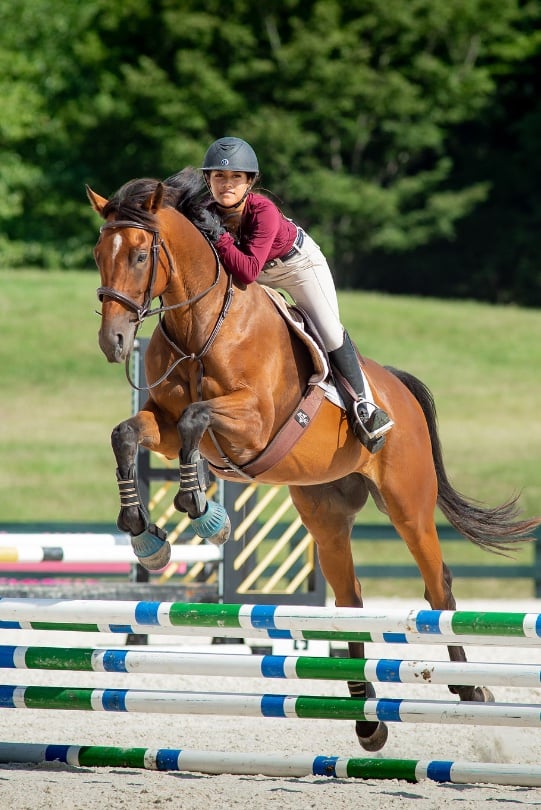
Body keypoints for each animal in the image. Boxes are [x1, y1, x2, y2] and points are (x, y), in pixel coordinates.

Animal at [87, 169, 541, 752]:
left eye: (141, 255)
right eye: (99, 254)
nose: (114, 342)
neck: (199, 326)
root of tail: (399, 390)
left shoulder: (252, 423)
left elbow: (194, 419)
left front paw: (205, 512)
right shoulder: (160, 425)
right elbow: (128, 434)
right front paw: (144, 534)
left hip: (408, 505)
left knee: (438, 587)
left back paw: (469, 689)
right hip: (325, 515)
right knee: (349, 604)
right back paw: (368, 721)